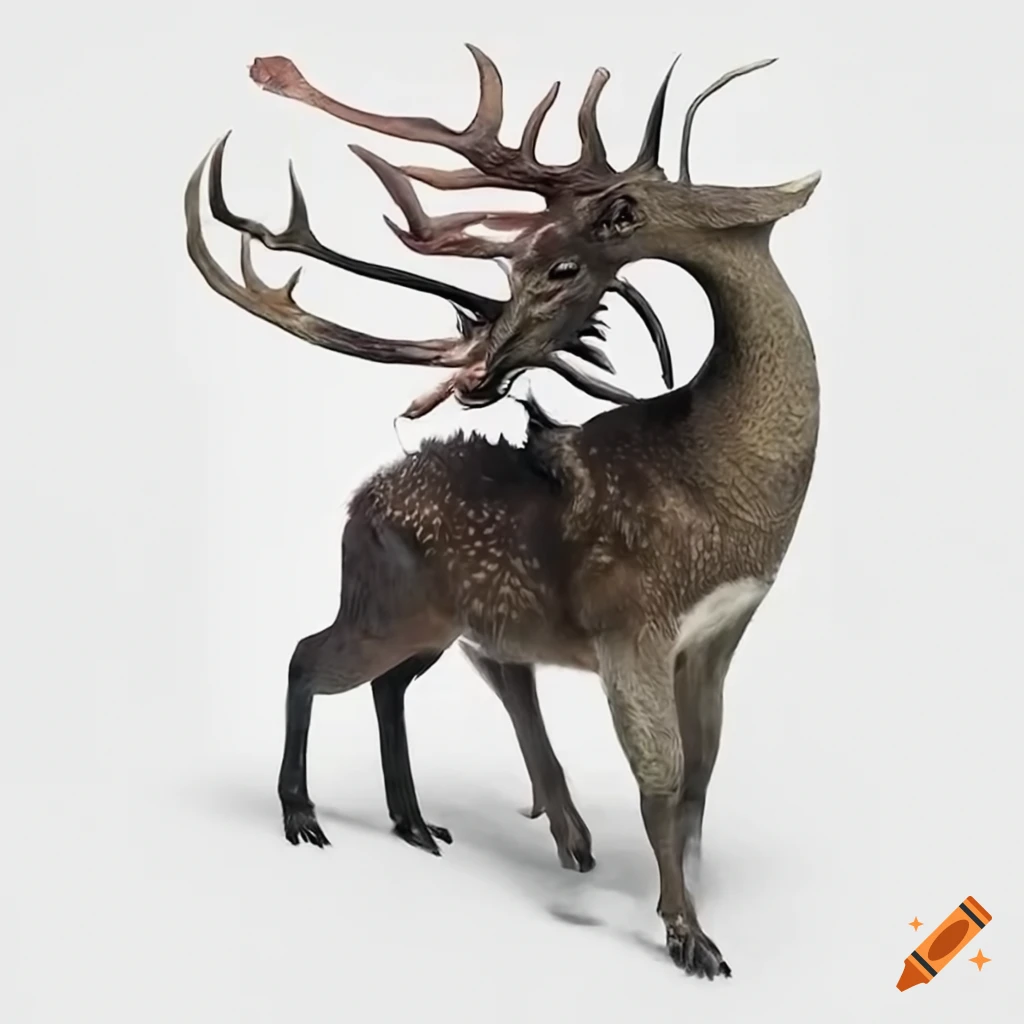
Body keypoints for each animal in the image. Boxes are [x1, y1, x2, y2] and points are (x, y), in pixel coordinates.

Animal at [185, 47, 821, 979]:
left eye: (557, 265)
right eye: (526, 263)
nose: (480, 372)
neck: (721, 480)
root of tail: (356, 502)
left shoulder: (722, 628)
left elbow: (702, 771)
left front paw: (693, 890)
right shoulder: (631, 621)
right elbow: (660, 778)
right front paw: (688, 935)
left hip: (444, 623)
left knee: (402, 683)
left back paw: (419, 822)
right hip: (387, 606)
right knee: (309, 655)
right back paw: (302, 815)